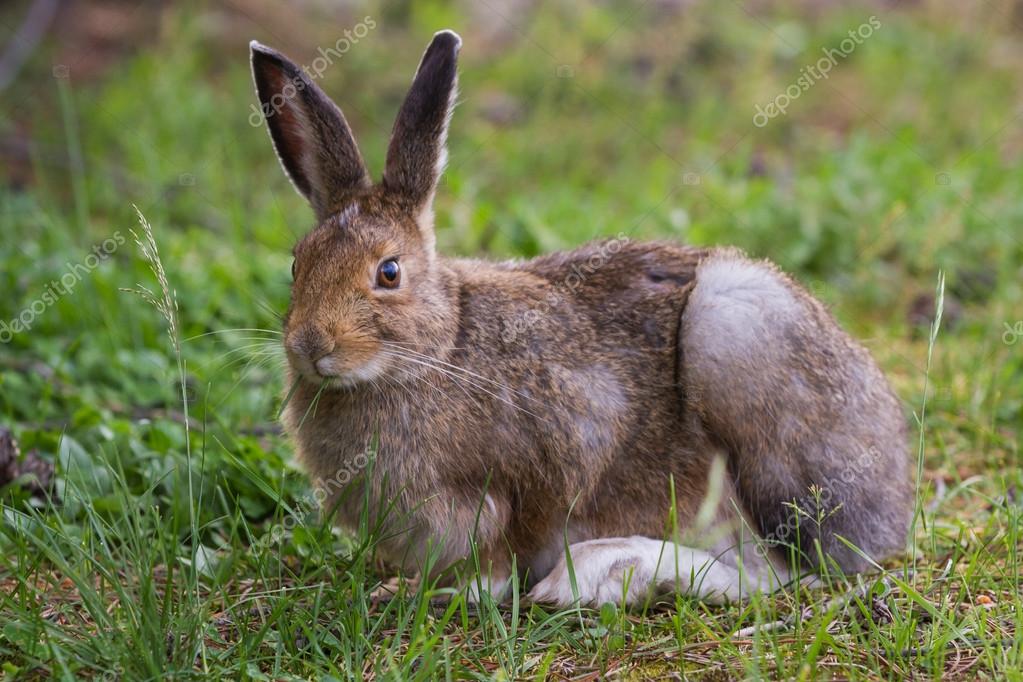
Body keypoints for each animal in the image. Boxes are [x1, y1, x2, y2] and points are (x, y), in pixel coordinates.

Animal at [249, 29, 912, 607]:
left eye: (388, 273)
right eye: (297, 263)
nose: (311, 345)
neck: (437, 349)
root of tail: (895, 497)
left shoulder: (560, 445)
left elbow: (506, 548)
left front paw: (452, 592)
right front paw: (406, 587)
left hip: (738, 332)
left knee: (780, 568)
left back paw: (607, 573)